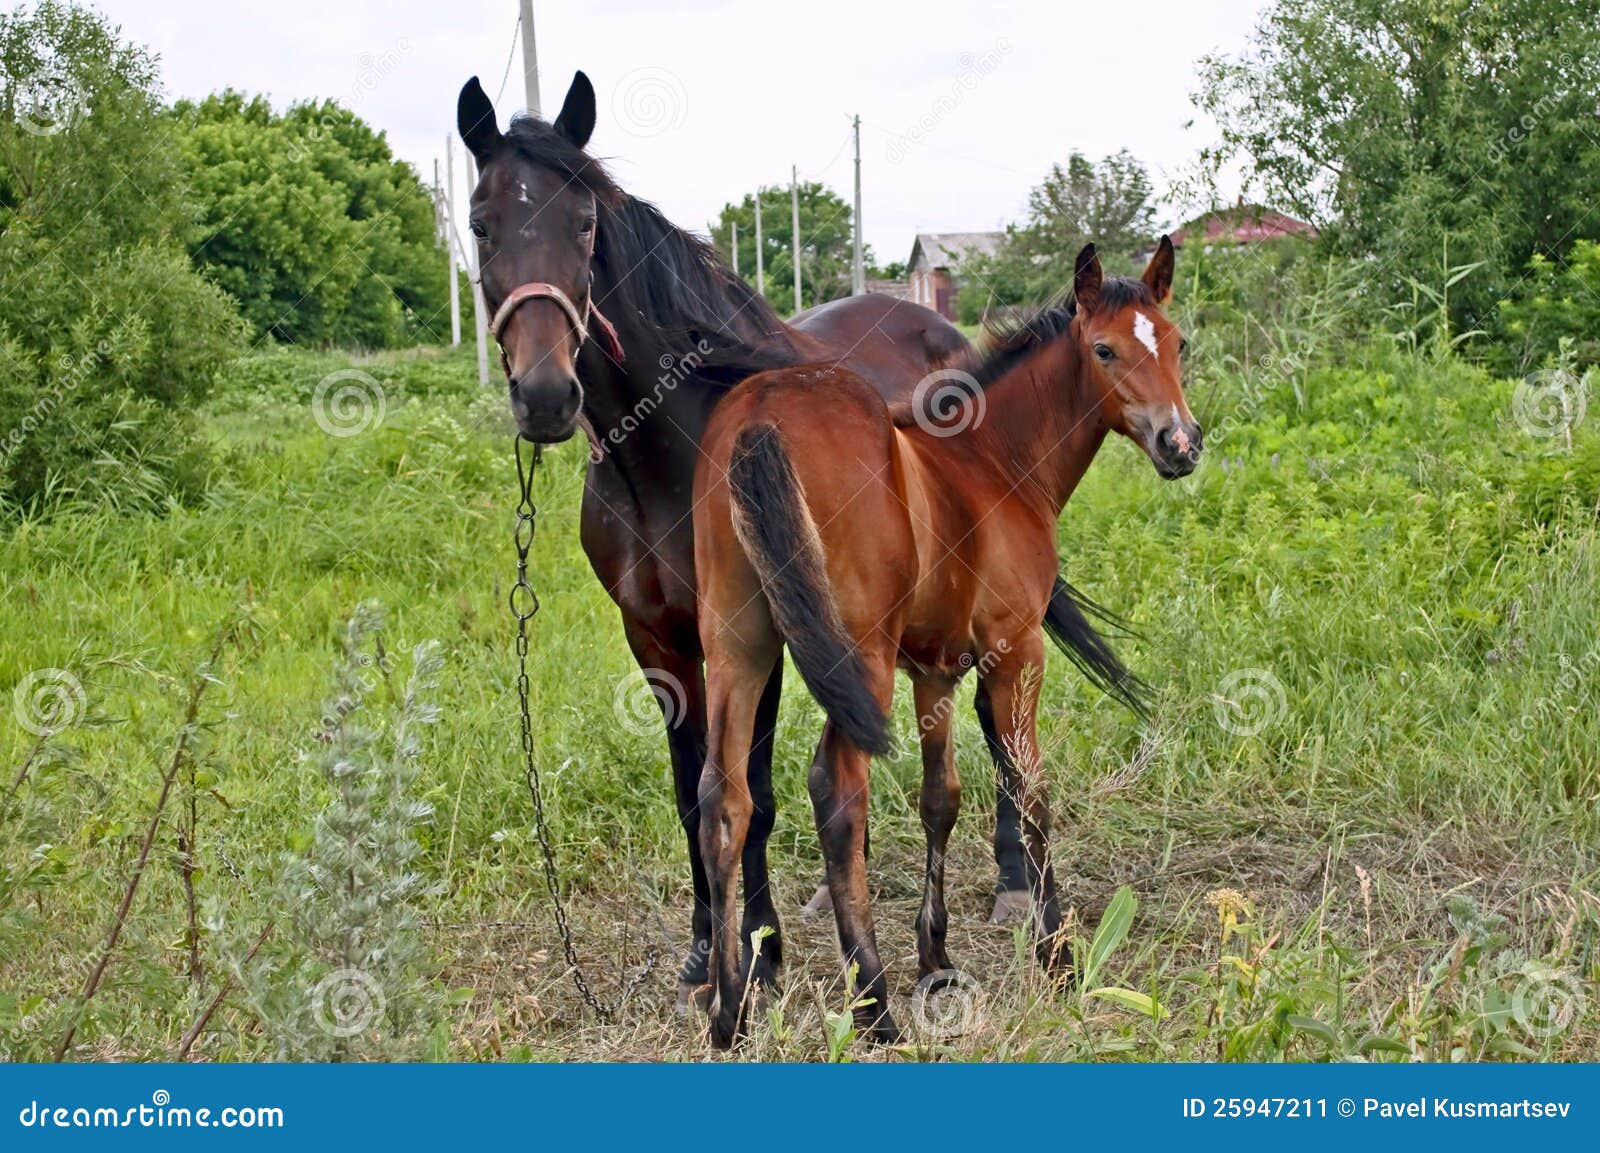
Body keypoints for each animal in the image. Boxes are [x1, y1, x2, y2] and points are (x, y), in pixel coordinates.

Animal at [455, 70, 1146, 1009]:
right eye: (481, 222)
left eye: (586, 225)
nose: (546, 394)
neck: (666, 442)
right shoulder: (659, 638)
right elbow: (694, 790)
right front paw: (704, 952)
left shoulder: (765, 636)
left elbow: (759, 787)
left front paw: (762, 948)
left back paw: (1008, 883)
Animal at [691, 238, 1200, 1046]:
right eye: (1105, 349)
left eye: (1178, 343)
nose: (1179, 443)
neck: (991, 462)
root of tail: (760, 416)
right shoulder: (1015, 651)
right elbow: (1028, 791)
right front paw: (1058, 959)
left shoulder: (932, 671)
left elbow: (942, 797)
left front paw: (937, 956)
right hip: (857, 658)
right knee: (838, 791)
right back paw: (873, 1007)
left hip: (740, 645)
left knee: (724, 798)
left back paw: (730, 1013)